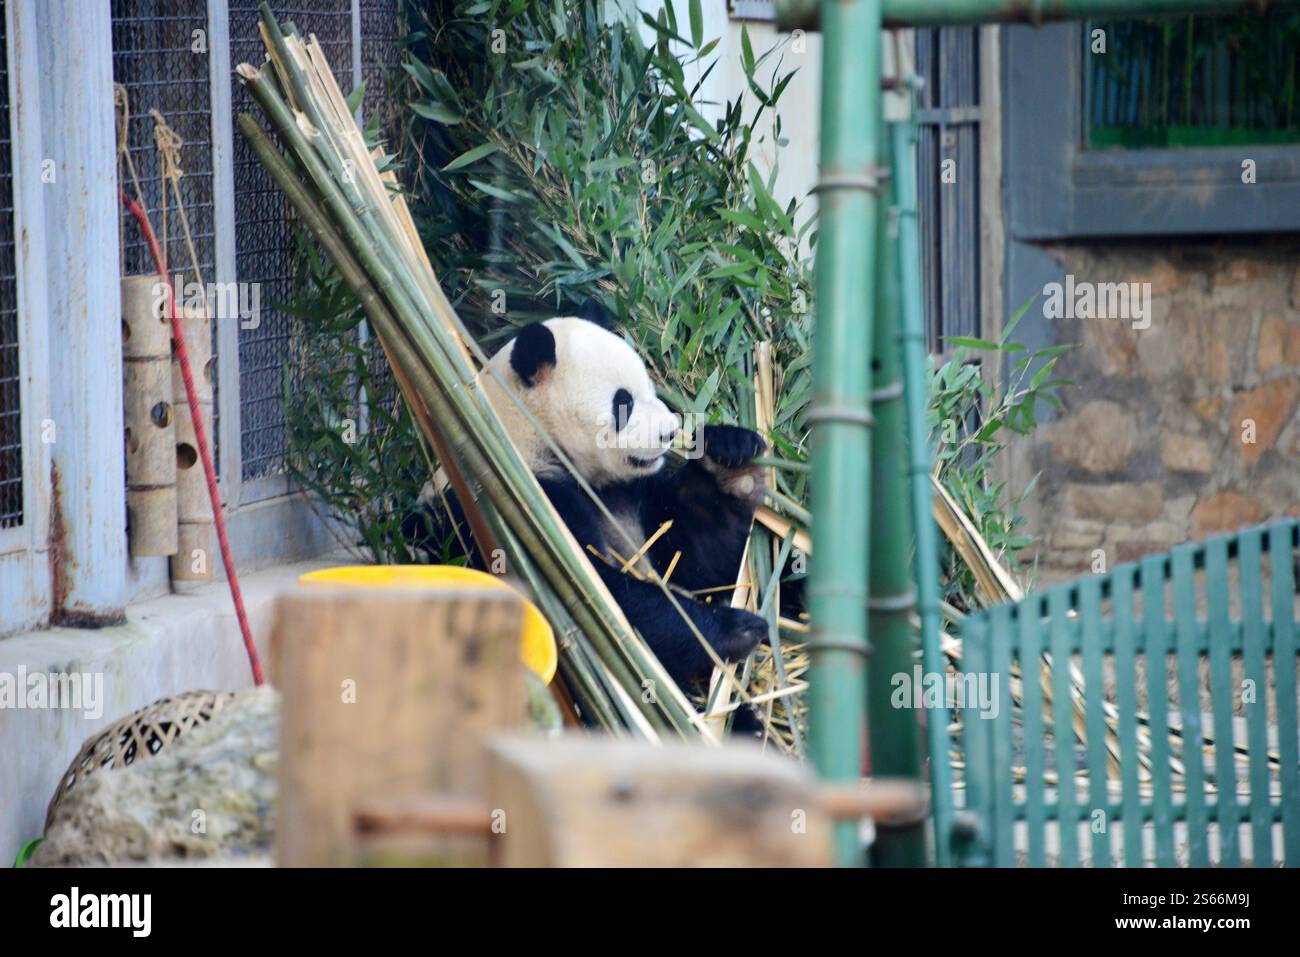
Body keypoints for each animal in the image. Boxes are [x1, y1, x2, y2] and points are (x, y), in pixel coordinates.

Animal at [406, 301, 770, 691]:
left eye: (649, 388)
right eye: (623, 403)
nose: (670, 432)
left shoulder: (629, 496)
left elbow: (696, 558)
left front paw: (731, 462)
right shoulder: (523, 506)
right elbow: (604, 602)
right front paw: (736, 629)